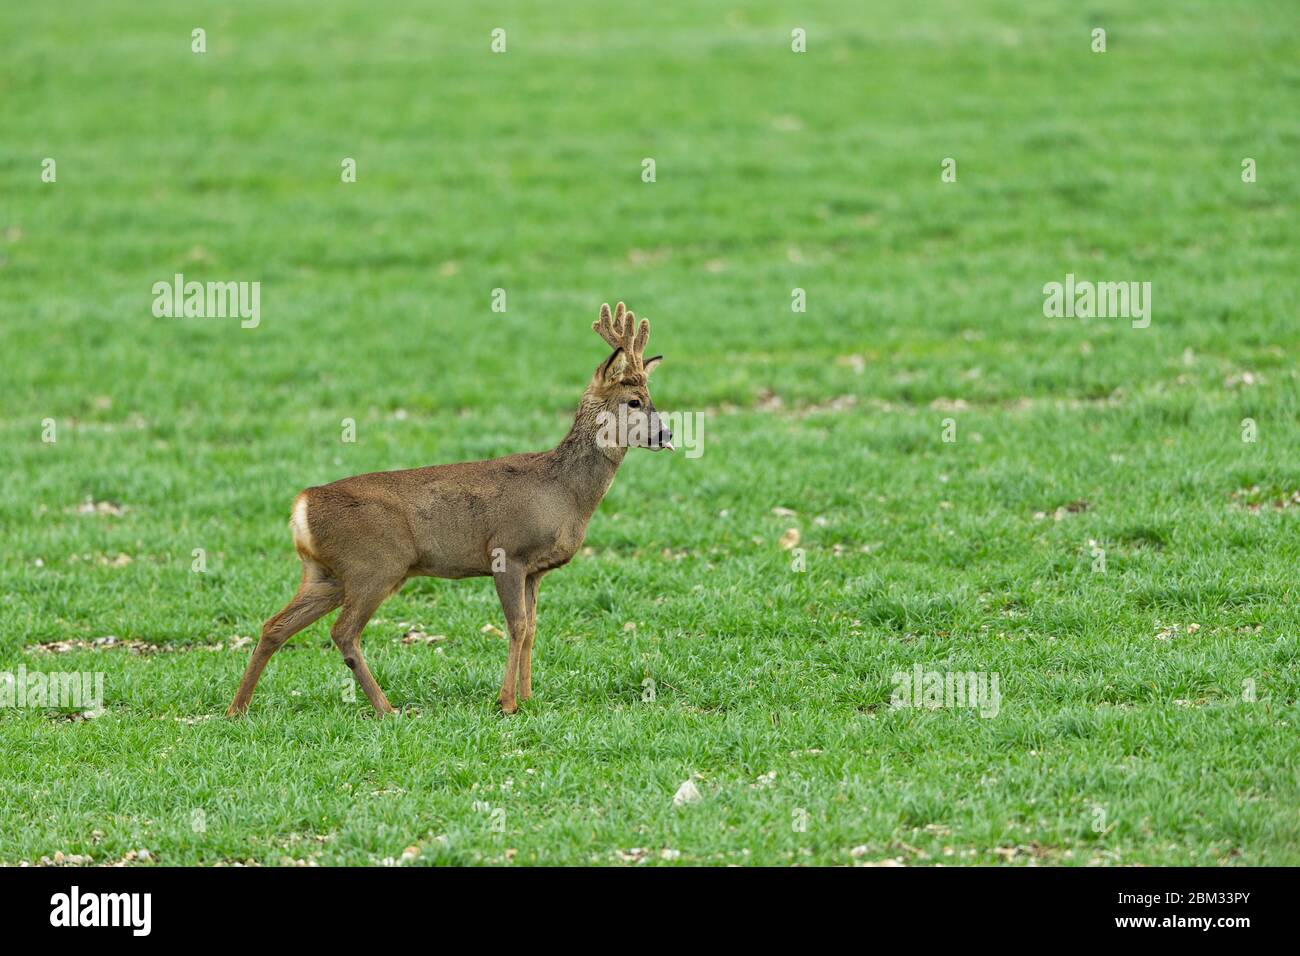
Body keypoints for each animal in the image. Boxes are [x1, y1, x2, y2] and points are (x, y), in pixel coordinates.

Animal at [226, 302, 672, 717]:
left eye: (652, 399)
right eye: (634, 401)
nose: (667, 434)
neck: (564, 492)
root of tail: (302, 505)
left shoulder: (536, 570)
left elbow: (532, 628)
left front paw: (529, 697)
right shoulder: (507, 552)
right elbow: (516, 626)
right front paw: (507, 702)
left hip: (326, 574)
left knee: (274, 626)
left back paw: (237, 709)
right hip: (375, 565)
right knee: (343, 632)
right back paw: (387, 709)